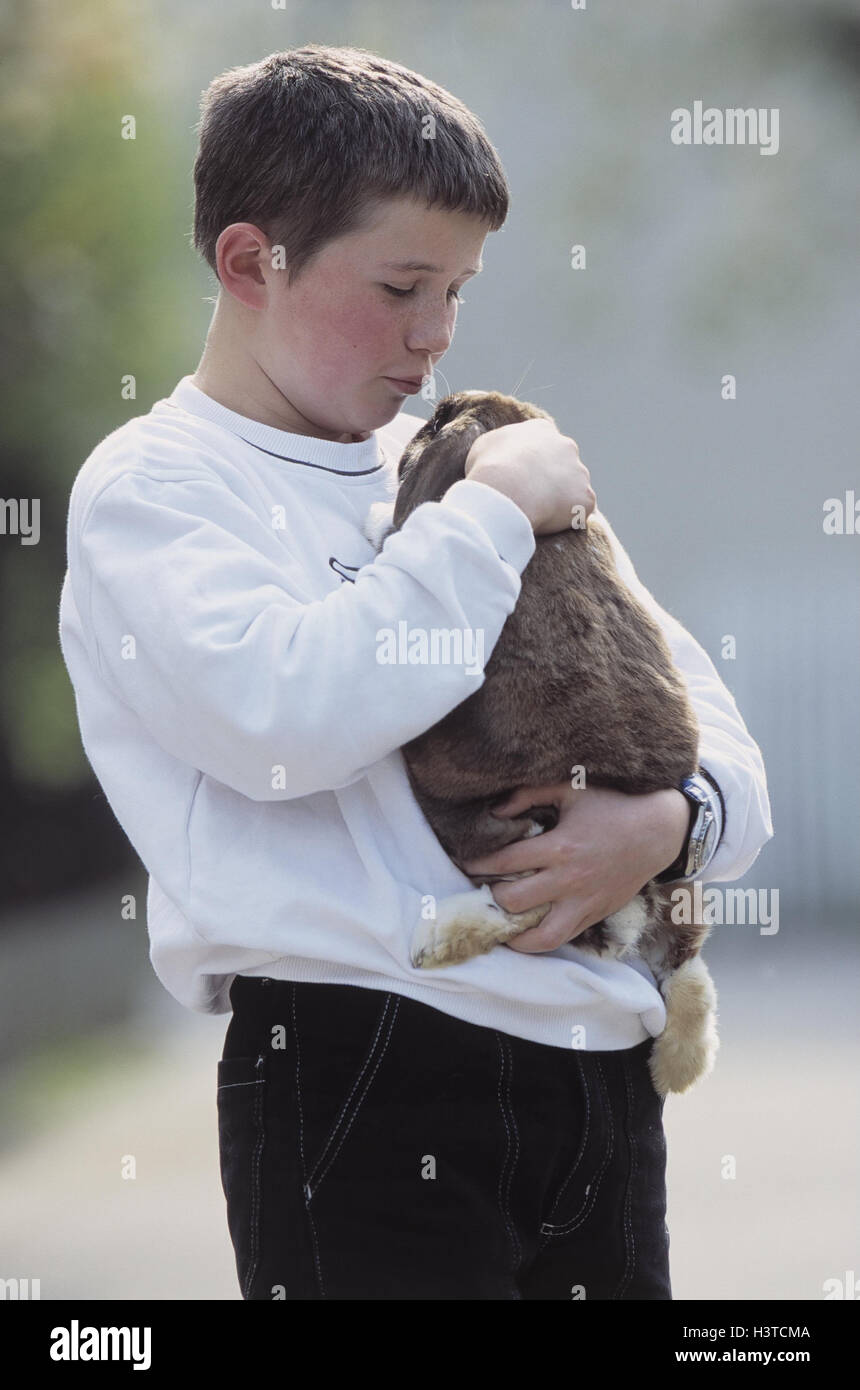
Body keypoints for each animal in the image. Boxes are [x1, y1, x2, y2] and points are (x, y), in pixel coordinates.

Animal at [363, 390, 718, 1095]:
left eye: (437, 424)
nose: (425, 418)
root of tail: (635, 900)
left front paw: (372, 520)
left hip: (486, 838)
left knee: (518, 912)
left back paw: (434, 941)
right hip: (678, 894)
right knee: (688, 969)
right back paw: (678, 1065)